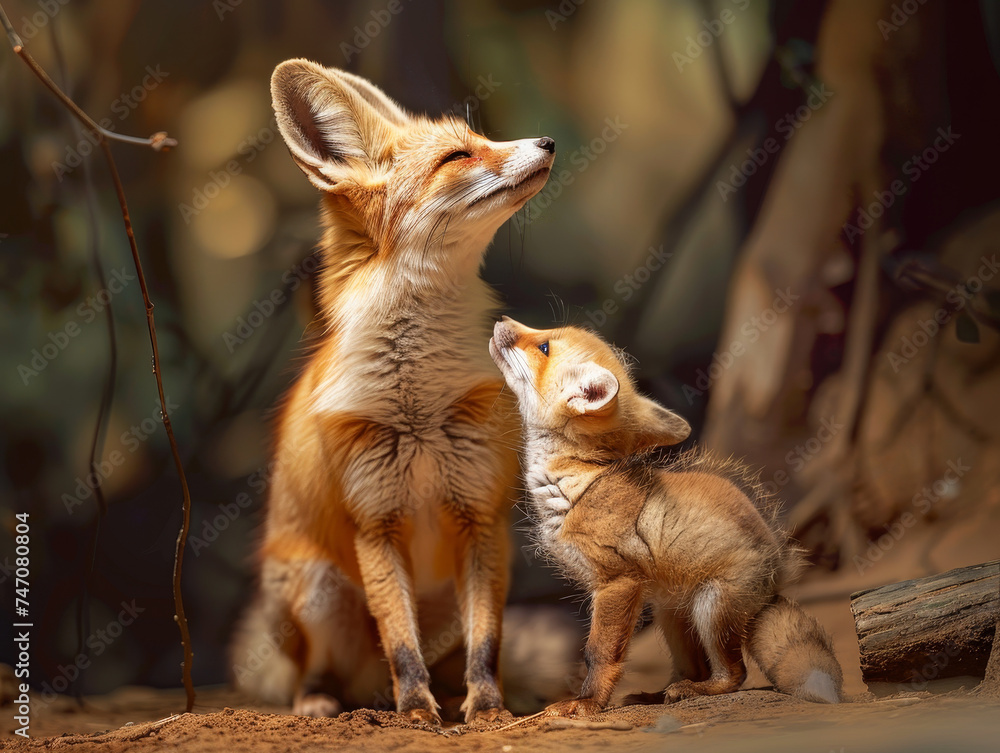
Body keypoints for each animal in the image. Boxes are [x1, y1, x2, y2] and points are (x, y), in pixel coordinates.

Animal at [231, 60, 555, 724]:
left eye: (478, 138)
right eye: (459, 155)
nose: (548, 142)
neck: (418, 410)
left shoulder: (481, 516)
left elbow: (487, 643)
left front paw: (486, 710)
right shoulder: (374, 522)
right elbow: (400, 643)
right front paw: (416, 714)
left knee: (457, 656)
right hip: (321, 590)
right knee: (324, 671)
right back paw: (328, 700)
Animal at [488, 318, 843, 716]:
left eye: (544, 347)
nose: (502, 321)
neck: (577, 483)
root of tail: (777, 576)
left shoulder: (617, 582)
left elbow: (598, 654)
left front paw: (588, 702)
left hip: (711, 609)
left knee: (735, 675)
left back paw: (701, 690)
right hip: (671, 617)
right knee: (692, 669)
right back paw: (658, 695)